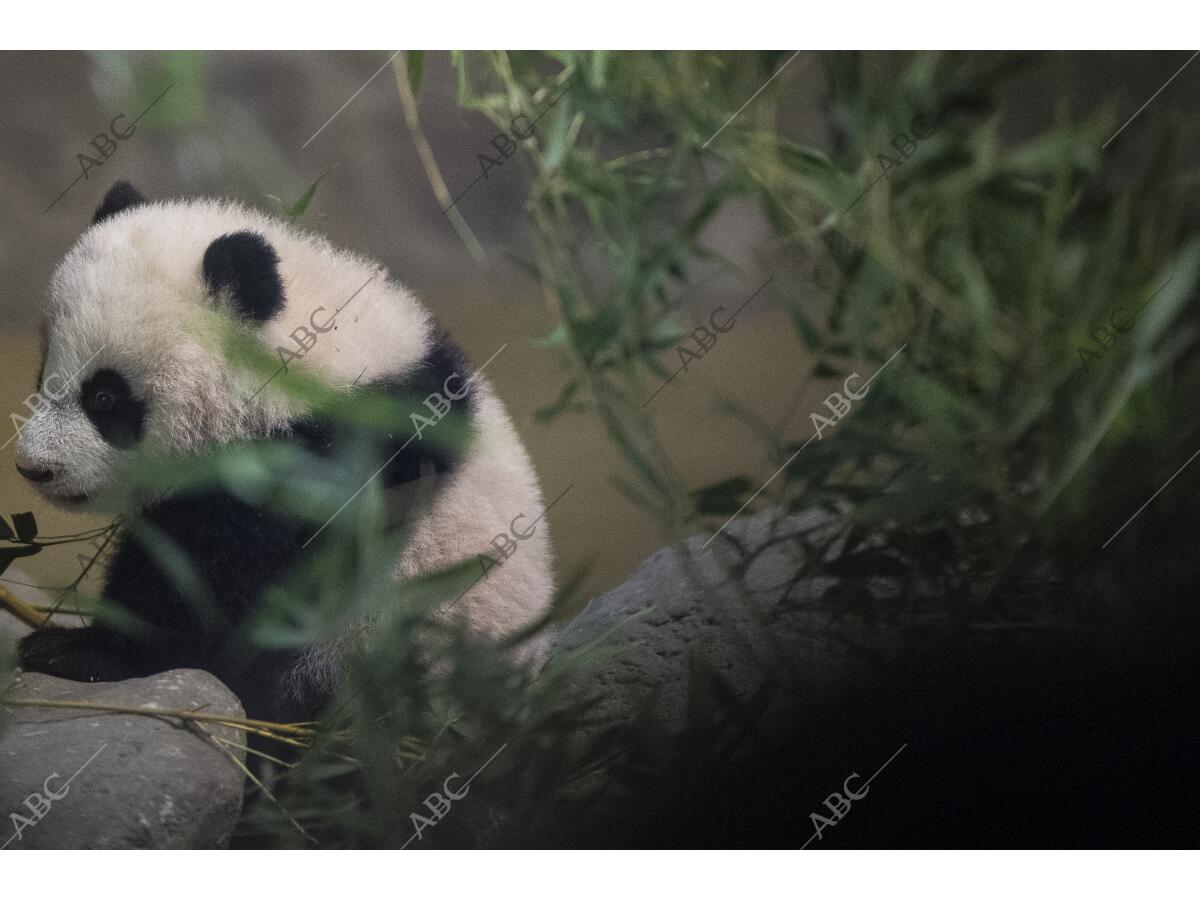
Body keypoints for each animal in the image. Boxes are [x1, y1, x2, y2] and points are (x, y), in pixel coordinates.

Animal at [13, 181, 554, 723]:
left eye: (105, 397)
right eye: (43, 375)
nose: (34, 468)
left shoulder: (329, 458)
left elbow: (206, 581)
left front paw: (76, 649)